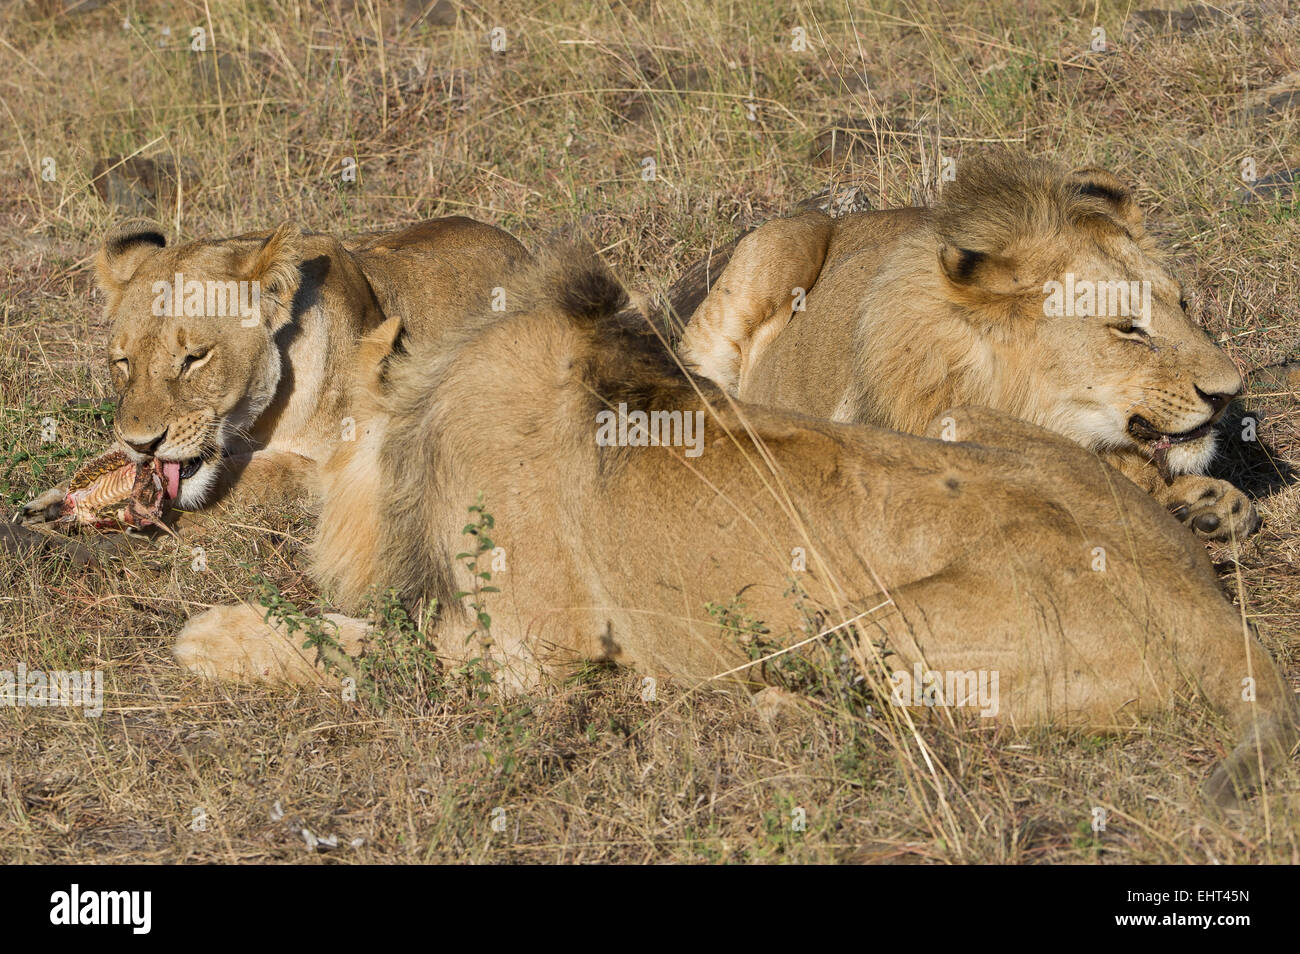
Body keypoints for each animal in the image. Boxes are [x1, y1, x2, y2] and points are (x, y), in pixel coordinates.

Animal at [18, 216, 528, 523]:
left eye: (194, 358)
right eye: (122, 362)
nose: (144, 444)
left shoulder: (343, 469)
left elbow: (255, 475)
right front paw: (55, 499)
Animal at [171, 246, 1295, 806]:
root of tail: (1204, 603)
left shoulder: (539, 656)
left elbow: (372, 648)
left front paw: (214, 639)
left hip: (883, 628)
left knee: (881, 721)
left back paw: (720, 702)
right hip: (967, 423)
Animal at [676, 154, 1258, 541]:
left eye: (1183, 304)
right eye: (1128, 329)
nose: (1229, 393)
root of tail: (839, 216)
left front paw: (1205, 507)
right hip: (777, 249)